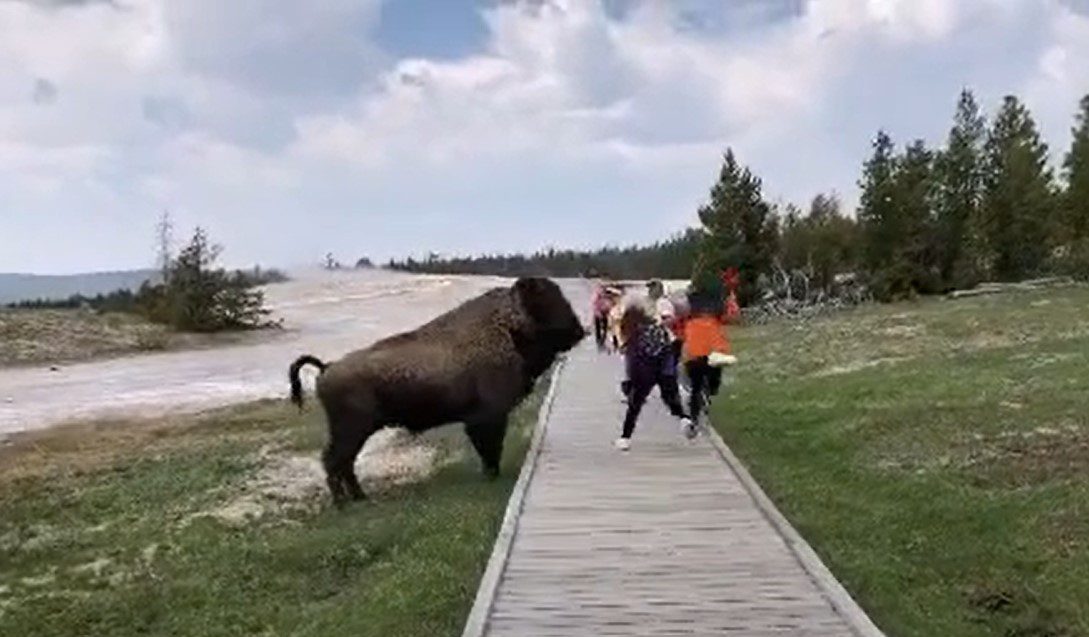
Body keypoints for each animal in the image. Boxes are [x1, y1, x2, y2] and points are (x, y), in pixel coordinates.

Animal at [288, 277, 585, 506]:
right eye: (549, 300)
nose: (580, 331)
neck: (507, 327)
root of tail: (327, 367)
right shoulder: (487, 417)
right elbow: (490, 447)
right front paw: (492, 475)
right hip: (351, 430)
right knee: (334, 461)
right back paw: (343, 504)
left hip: (354, 432)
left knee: (344, 462)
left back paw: (359, 498)